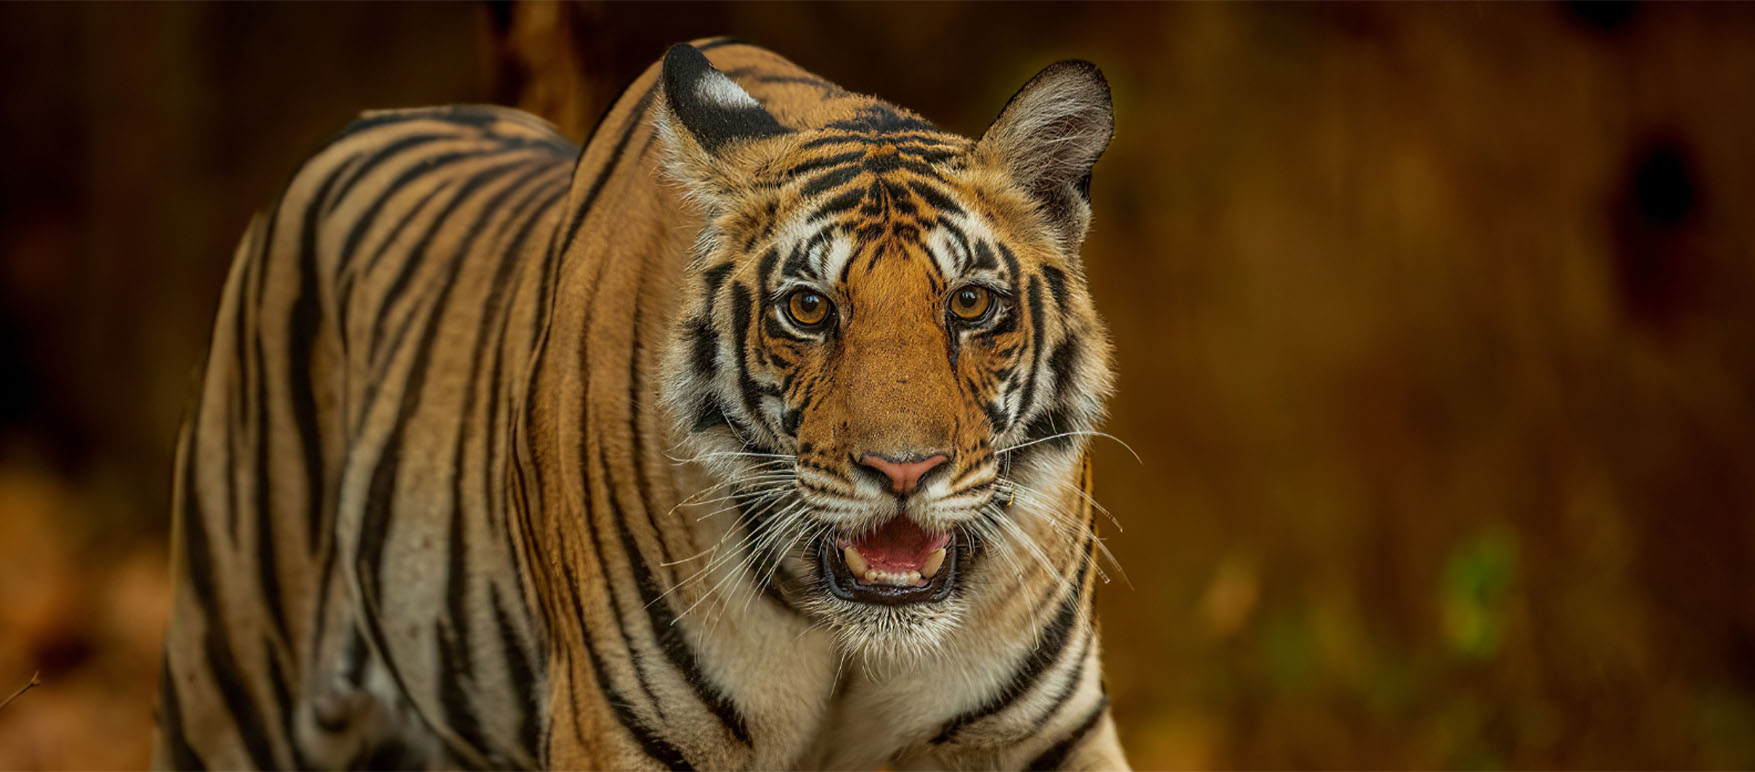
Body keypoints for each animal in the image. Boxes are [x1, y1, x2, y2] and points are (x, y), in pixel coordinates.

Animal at [155, 37, 1126, 771]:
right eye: (808, 309)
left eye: (970, 304)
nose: (903, 471)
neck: (849, 635)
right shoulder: (619, 732)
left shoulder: (1041, 732)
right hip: (233, 685)